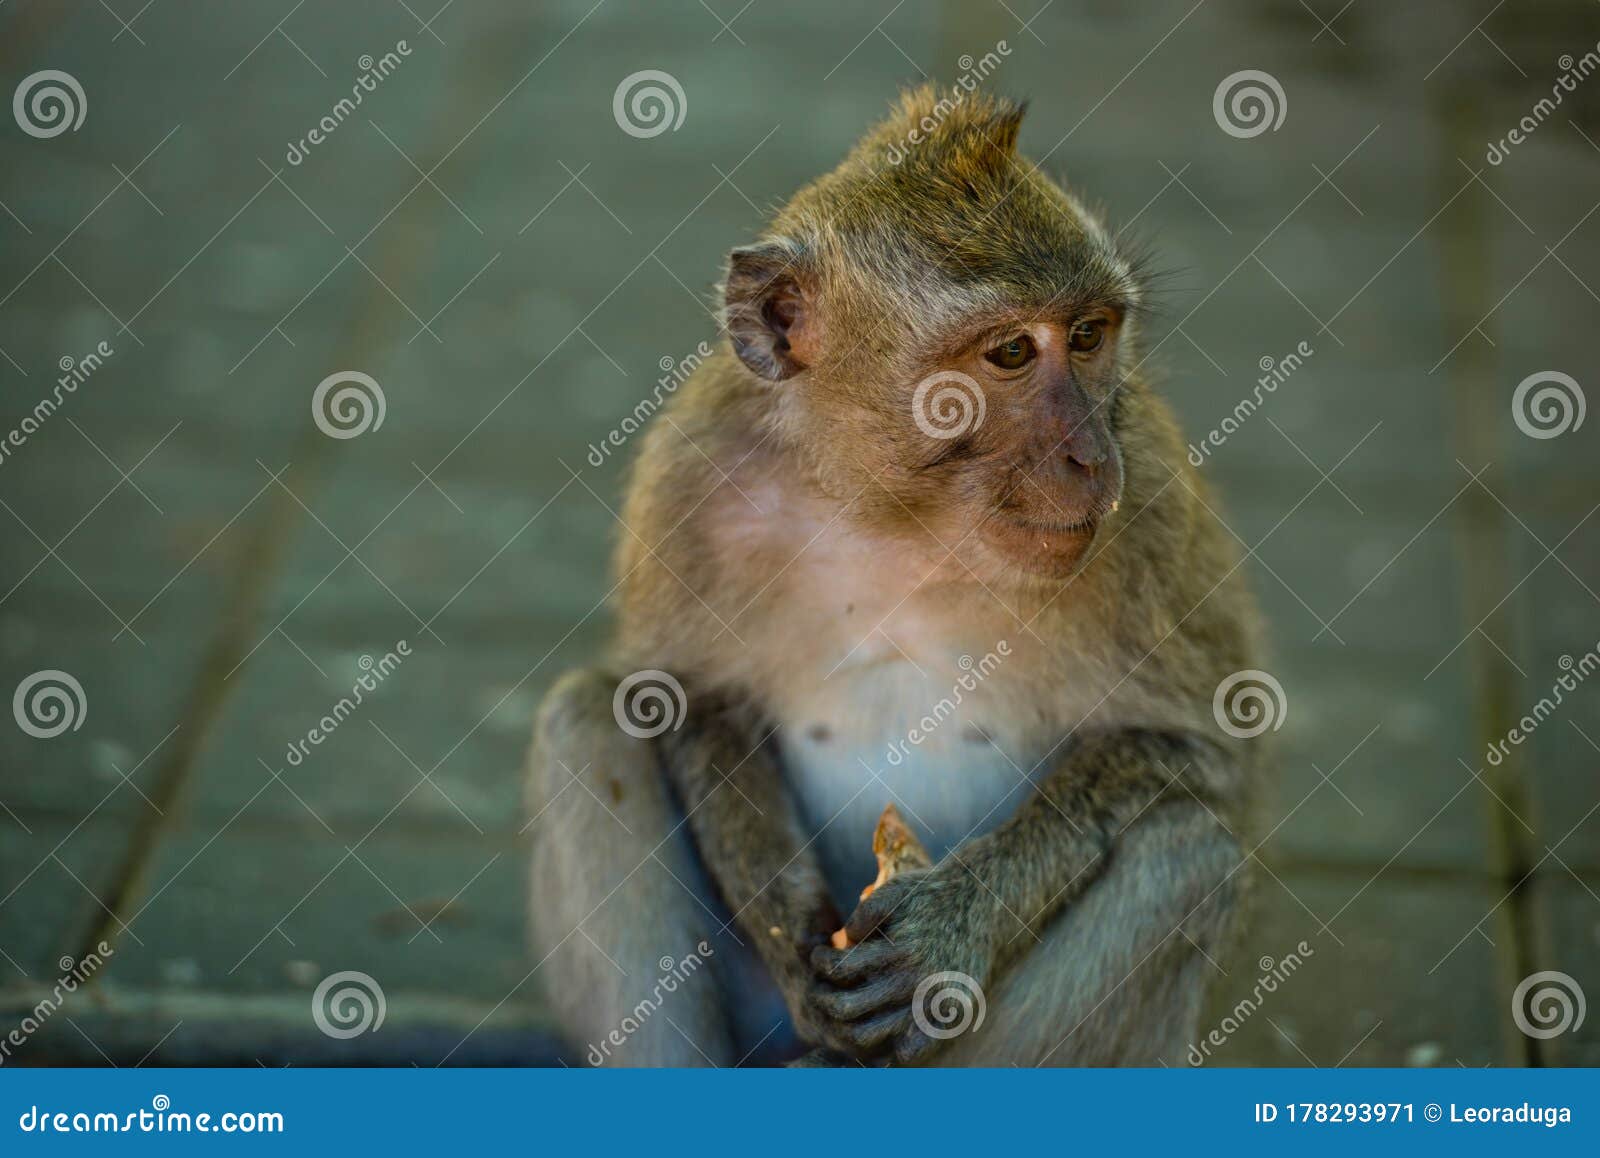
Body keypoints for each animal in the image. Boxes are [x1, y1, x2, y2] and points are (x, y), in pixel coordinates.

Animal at [527, 86, 1264, 1067]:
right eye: (1011, 353)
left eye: (1089, 336)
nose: (1088, 457)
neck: (901, 516)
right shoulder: (691, 476)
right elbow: (683, 701)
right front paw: (794, 934)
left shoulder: (1148, 506)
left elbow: (1196, 752)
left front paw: (951, 925)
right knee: (584, 723)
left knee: (1186, 851)